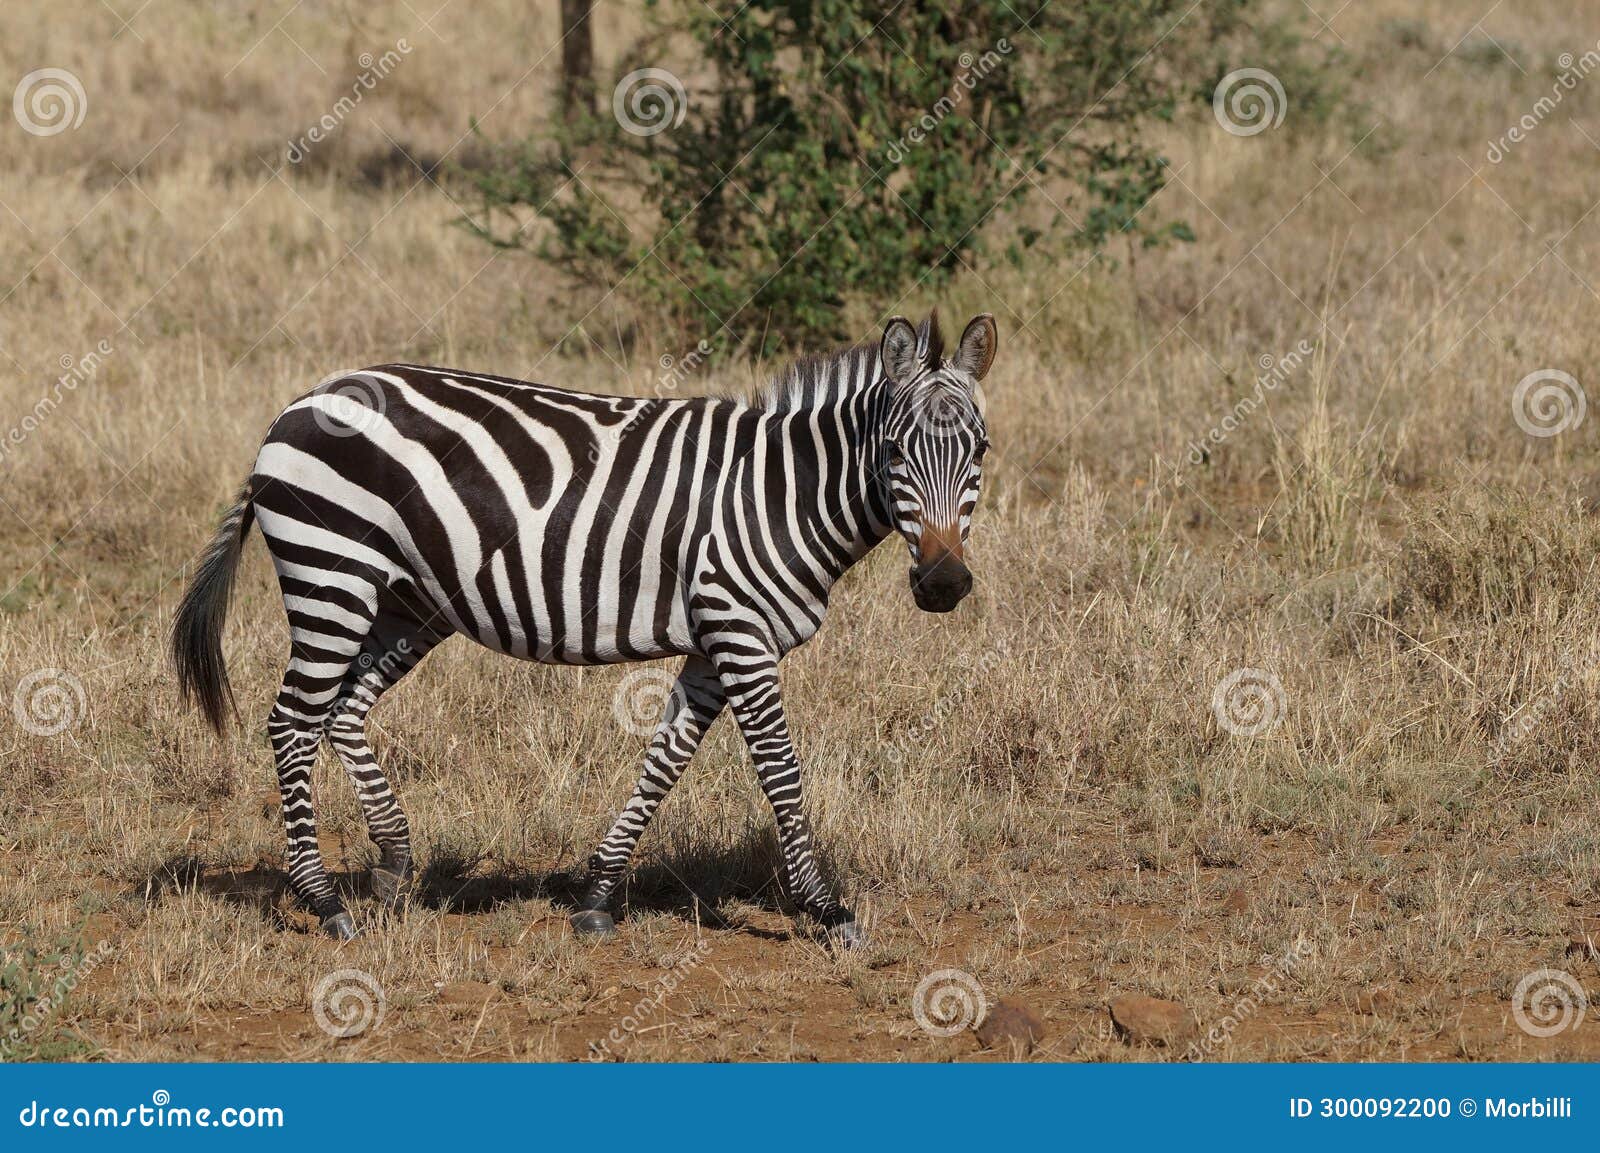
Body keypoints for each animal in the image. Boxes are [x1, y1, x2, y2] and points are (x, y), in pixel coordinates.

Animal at [172, 311, 997, 947]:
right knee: (291, 720)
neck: (780, 491)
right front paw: (826, 909)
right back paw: (322, 900)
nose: (944, 584)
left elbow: (664, 761)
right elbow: (781, 772)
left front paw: (598, 896)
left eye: (981, 450)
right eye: (894, 451)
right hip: (333, 573)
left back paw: (394, 860)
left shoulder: (711, 644)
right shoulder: (741, 632)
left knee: (343, 708)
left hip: (408, 600)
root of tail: (299, 404)